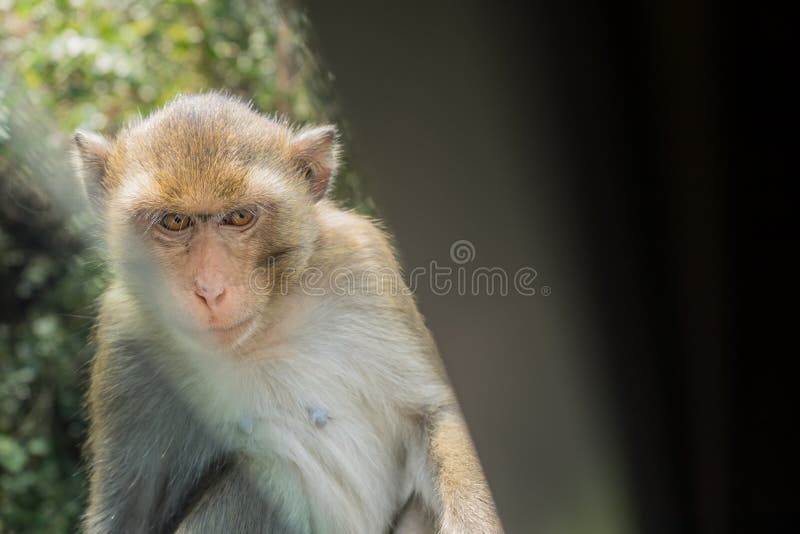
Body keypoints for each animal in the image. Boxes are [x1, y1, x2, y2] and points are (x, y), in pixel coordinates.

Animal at [73, 92, 502, 534]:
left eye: (239, 216)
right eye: (175, 221)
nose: (210, 289)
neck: (263, 328)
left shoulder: (363, 269)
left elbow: (433, 412)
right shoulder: (128, 339)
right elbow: (128, 513)